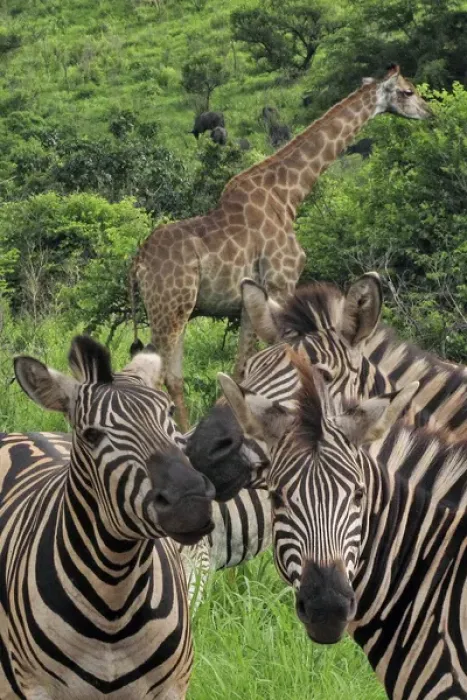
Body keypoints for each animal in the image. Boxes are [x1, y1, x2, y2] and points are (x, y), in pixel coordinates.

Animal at [0, 336, 215, 700]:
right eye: (91, 435)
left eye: (169, 413)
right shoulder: (37, 687)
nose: (192, 502)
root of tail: (24, 434)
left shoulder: (173, 686)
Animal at [130, 64, 432, 430]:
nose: (429, 112)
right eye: (407, 91)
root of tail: (139, 261)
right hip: (171, 309)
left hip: (168, 312)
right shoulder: (282, 282)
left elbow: (241, 369)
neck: (288, 196)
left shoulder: (249, 302)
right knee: (161, 375)